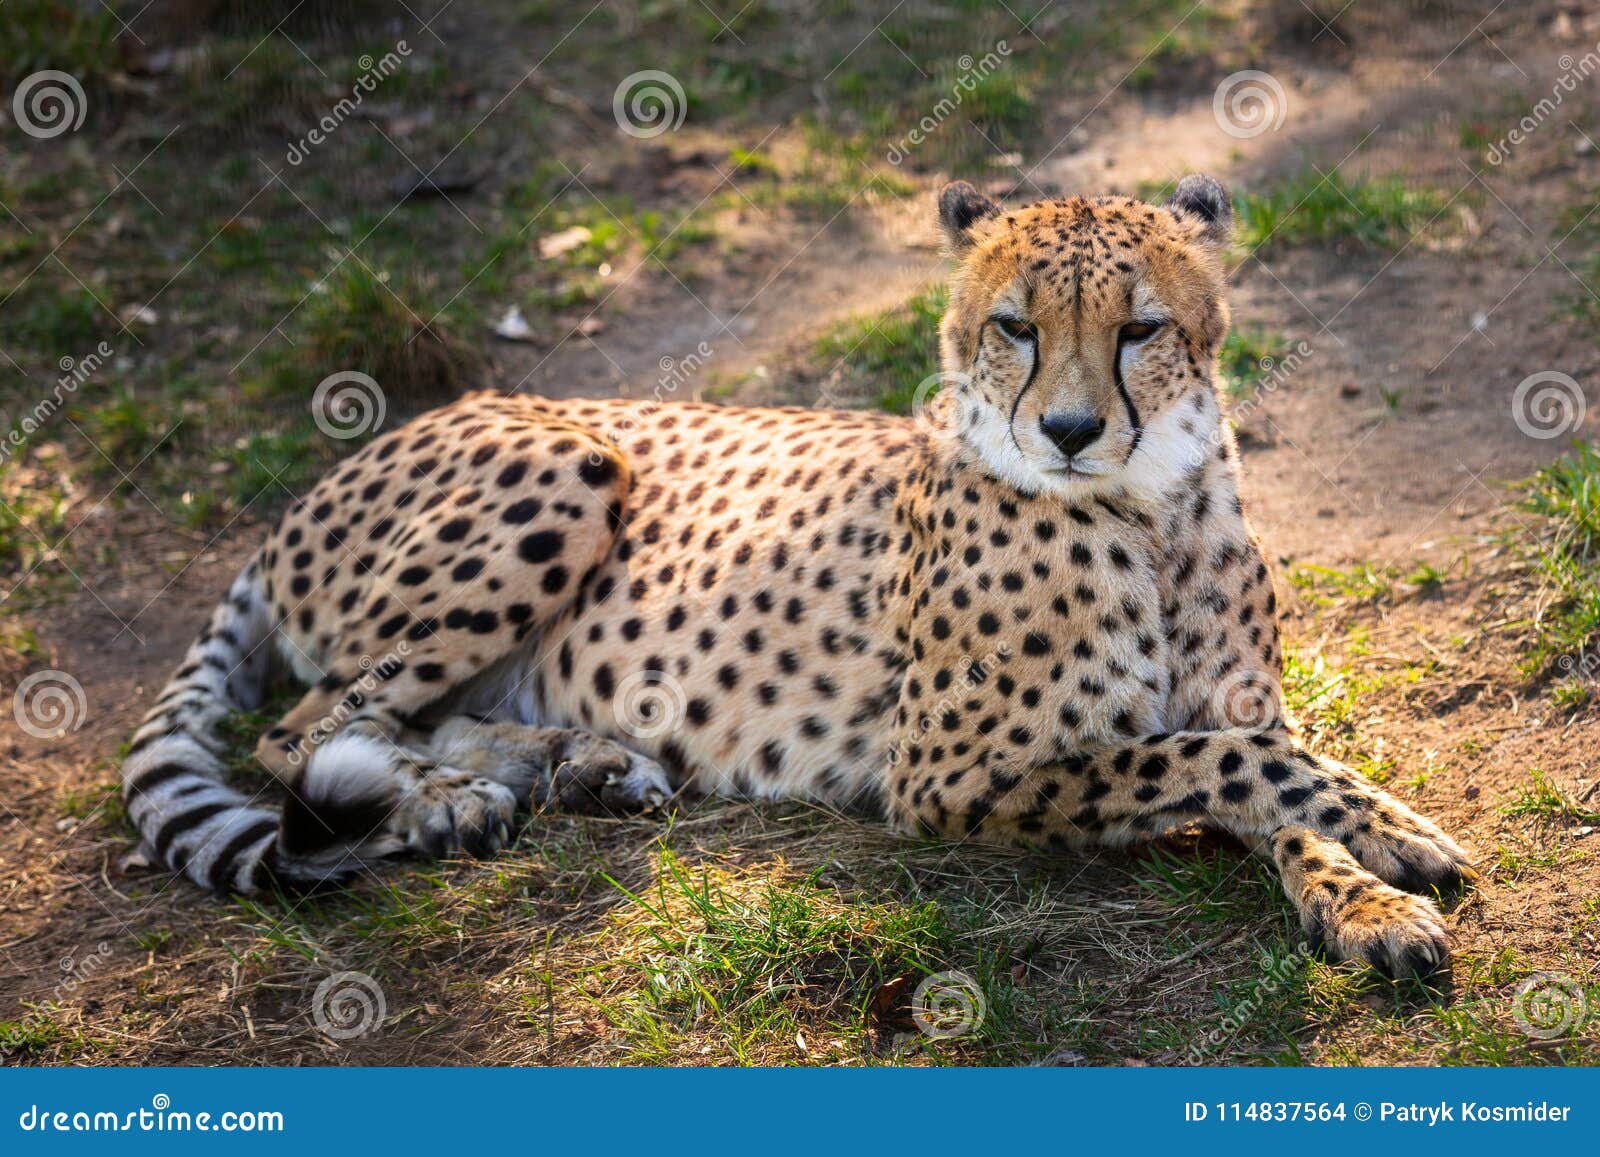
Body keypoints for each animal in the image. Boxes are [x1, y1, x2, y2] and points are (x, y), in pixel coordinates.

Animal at [121, 174, 1474, 978]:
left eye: (1140, 329)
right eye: (1015, 327)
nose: (1069, 429)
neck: (1149, 508)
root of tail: (315, 484)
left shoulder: (1227, 703)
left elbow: (1256, 771)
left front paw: (1360, 897)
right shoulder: (945, 777)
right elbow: (1221, 761)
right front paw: (1395, 828)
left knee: (401, 716)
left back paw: (574, 762)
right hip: (570, 463)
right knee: (303, 726)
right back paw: (443, 802)